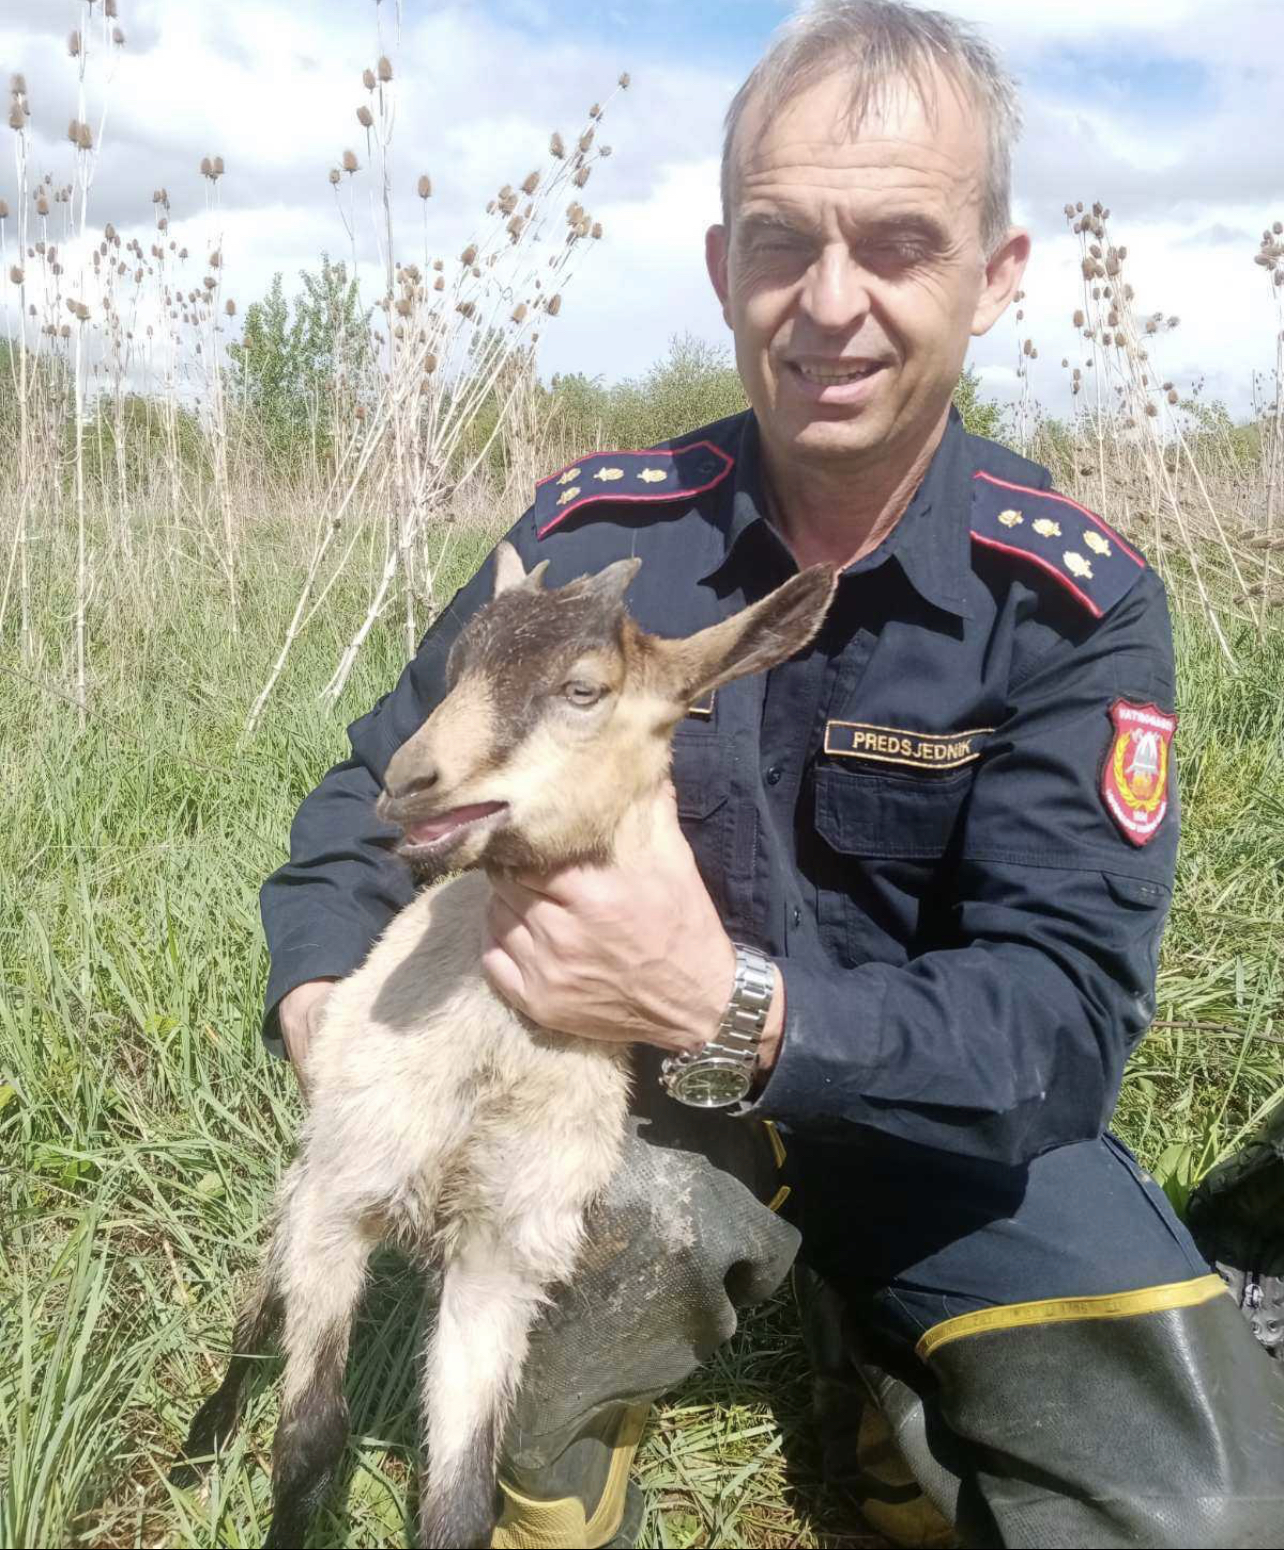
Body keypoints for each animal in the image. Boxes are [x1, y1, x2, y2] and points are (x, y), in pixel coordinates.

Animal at [175, 544, 835, 1548]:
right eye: (455, 668)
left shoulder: (504, 1255)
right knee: (262, 1295)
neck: (481, 1076)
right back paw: (199, 1442)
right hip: (308, 1173)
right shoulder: (343, 1191)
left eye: (583, 688)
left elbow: (458, 1497)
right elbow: (309, 1438)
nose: (408, 777)